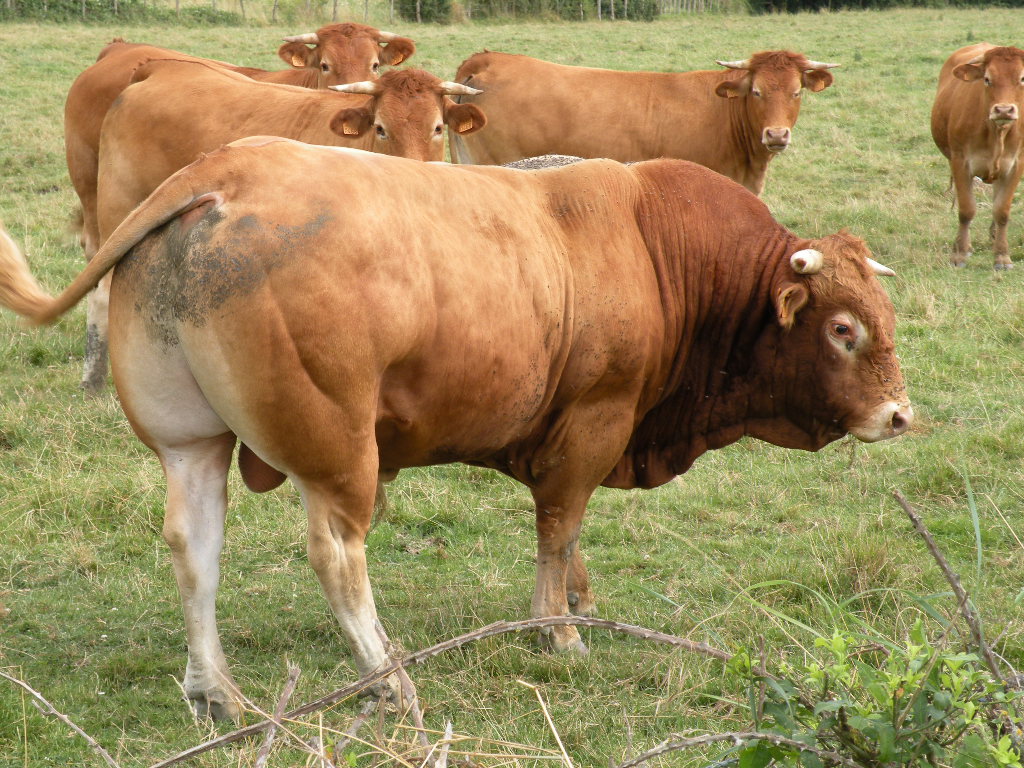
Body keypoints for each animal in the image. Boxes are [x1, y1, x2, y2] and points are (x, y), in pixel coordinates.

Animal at [0, 139, 912, 721]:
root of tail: (219, 171)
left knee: (195, 550)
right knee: (337, 555)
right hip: (342, 456)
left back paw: (215, 689)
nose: (901, 414)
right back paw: (388, 678)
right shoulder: (594, 421)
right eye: (843, 329)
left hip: (191, 445)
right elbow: (558, 529)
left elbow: (568, 538)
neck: (656, 246)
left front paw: (578, 603)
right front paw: (558, 633)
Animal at [77, 59, 484, 394]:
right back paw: (93, 382)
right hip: (118, 209)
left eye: (437, 128)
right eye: (382, 128)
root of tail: (159, 69)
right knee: (101, 291)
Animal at [930, 44, 1024, 270]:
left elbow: (1002, 210)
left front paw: (1002, 256)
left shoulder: (1016, 165)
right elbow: (966, 209)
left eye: (1022, 78)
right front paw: (960, 253)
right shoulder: (960, 162)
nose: (1004, 110)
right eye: (987, 79)